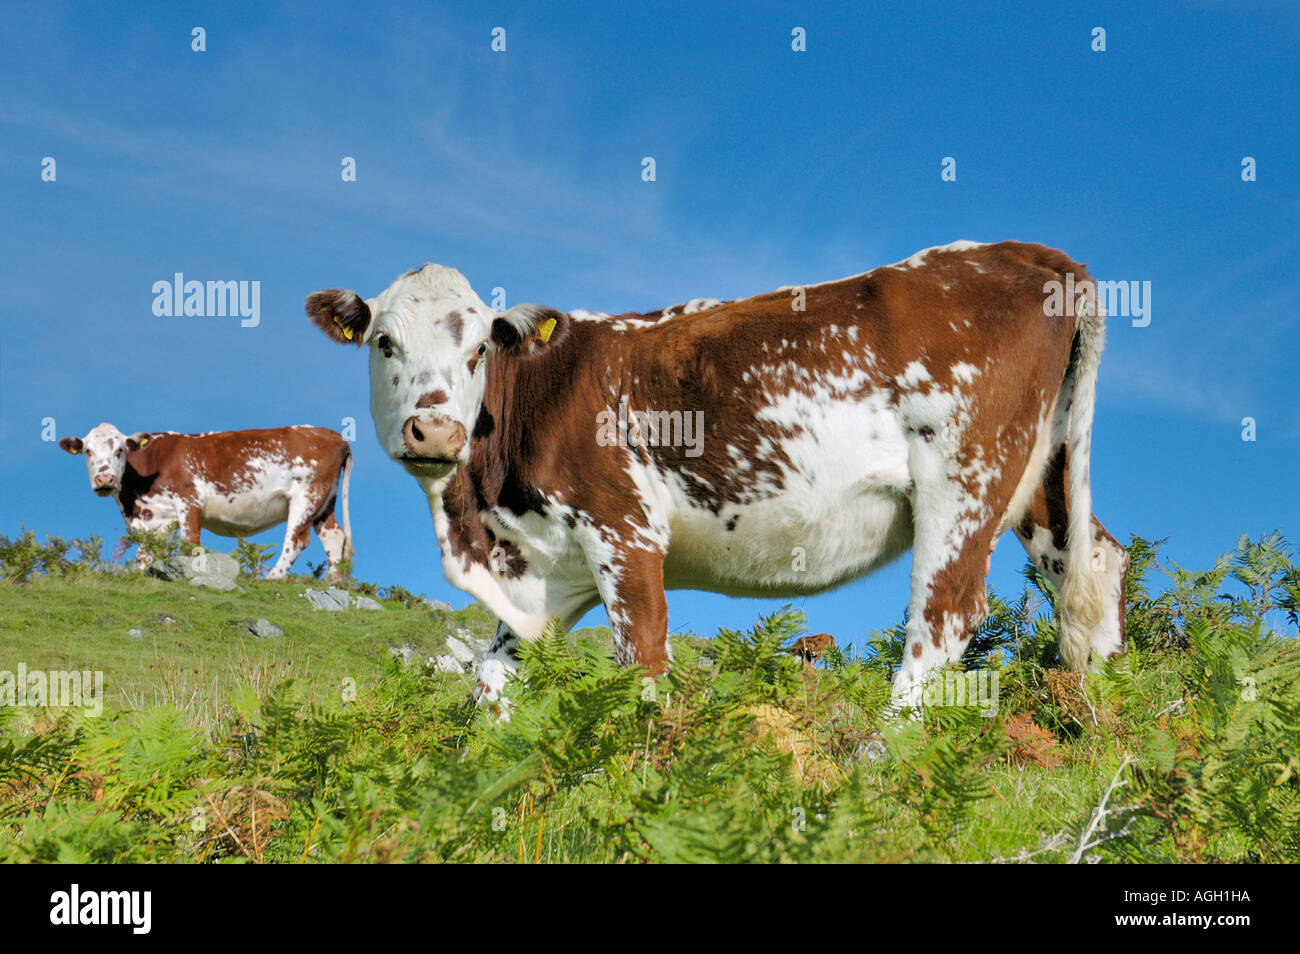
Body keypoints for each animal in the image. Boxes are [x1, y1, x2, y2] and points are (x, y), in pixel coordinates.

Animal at [59, 424, 353, 580]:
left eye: (120, 450)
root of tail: (334, 435)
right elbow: (146, 554)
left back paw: (272, 578)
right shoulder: (155, 517)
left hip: (306, 495)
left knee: (296, 540)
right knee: (334, 536)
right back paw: (333, 582)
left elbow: (190, 543)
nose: (105, 479)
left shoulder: (188, 500)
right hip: (324, 501)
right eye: (88, 451)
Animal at [304, 240, 1128, 715]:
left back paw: (881, 753)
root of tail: (1030, 253)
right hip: (1042, 474)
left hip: (964, 477)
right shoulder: (548, 568)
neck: (480, 521)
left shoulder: (626, 530)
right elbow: (492, 685)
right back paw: (1102, 722)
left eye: (478, 348)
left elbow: (641, 662)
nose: (435, 428)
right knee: (1093, 565)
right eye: (382, 342)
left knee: (945, 611)